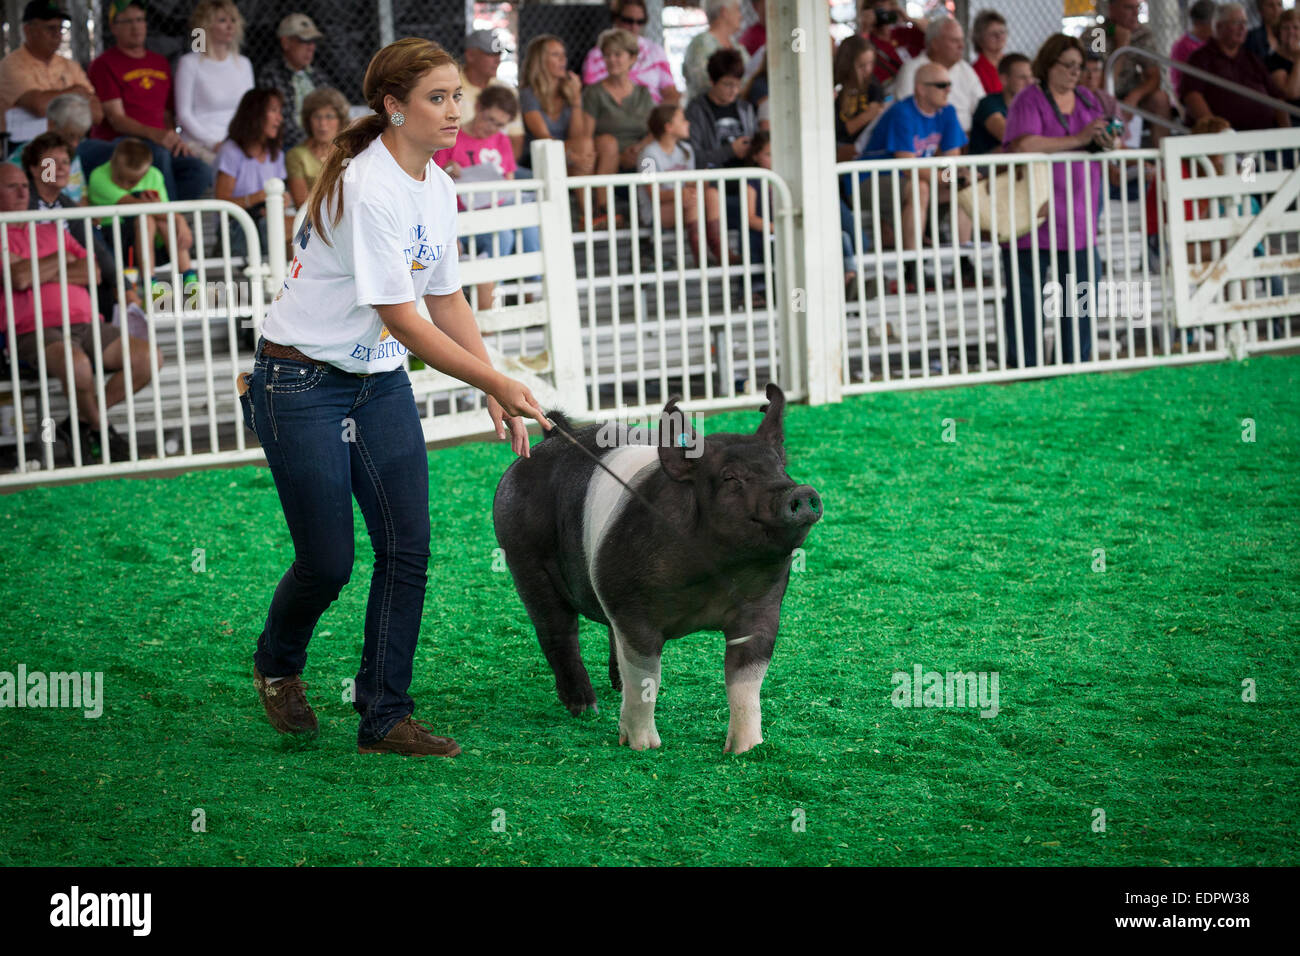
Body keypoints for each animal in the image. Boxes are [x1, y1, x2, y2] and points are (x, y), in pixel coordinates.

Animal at [492, 383, 822, 753]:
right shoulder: (633, 610)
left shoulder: (762, 610)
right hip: (524, 560)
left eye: (781, 467)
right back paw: (585, 707)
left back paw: (614, 687)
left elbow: (745, 681)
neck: (714, 573)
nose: (800, 491)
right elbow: (646, 677)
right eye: (730, 477)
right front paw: (643, 746)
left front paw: (746, 749)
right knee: (557, 633)